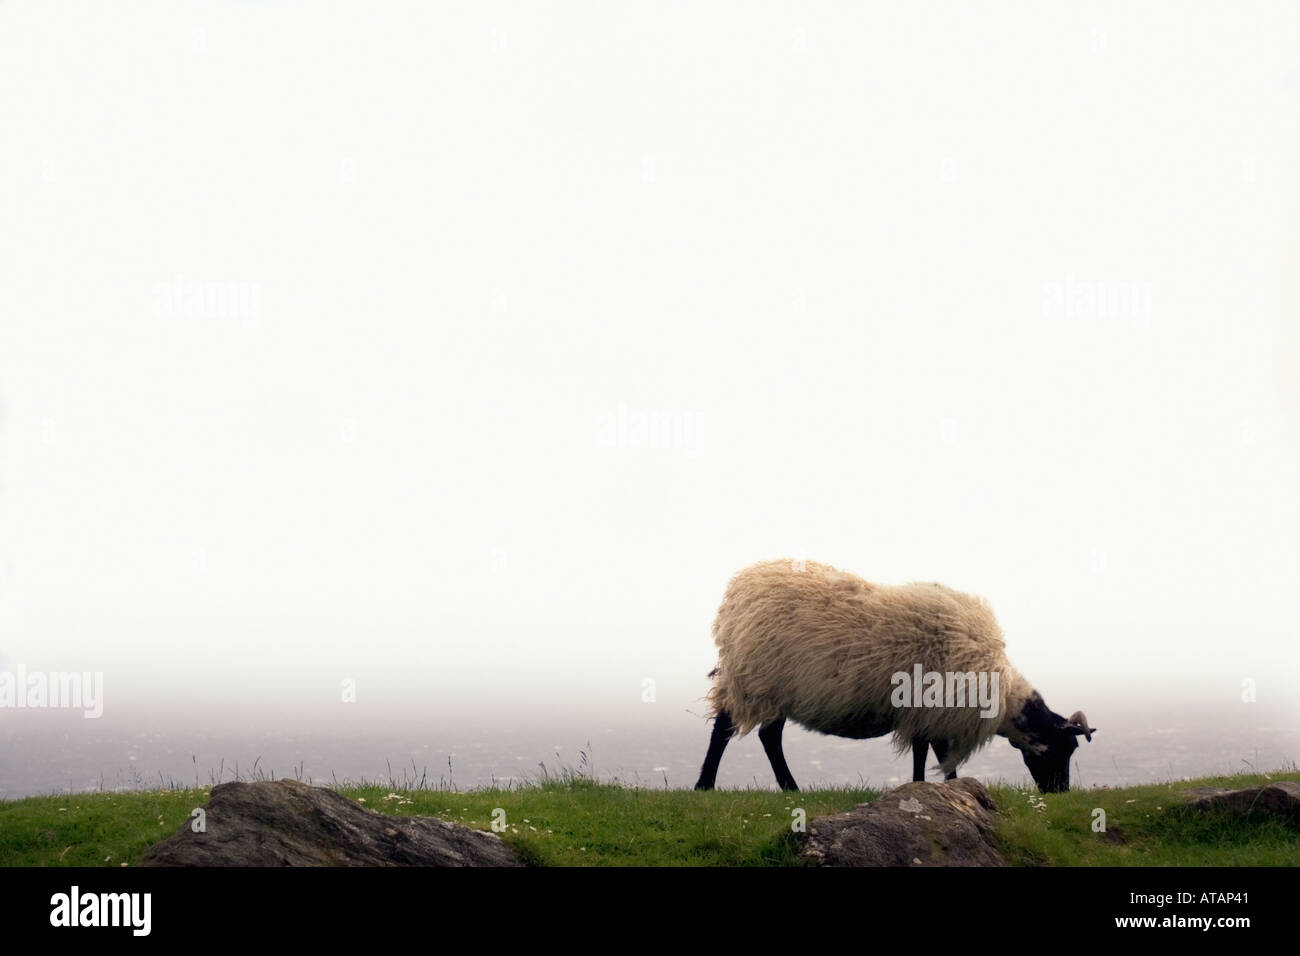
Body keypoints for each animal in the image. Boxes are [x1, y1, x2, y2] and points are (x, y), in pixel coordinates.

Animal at [693, 560, 1095, 793]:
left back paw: (788, 787)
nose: (1061, 793)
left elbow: (934, 752)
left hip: (774, 689)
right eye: (1065, 748)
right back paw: (707, 785)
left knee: (767, 736)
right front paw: (926, 787)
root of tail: (738, 592)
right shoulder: (931, 708)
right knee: (726, 729)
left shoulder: (931, 713)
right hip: (756, 679)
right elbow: (927, 752)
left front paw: (944, 788)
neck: (1003, 697)